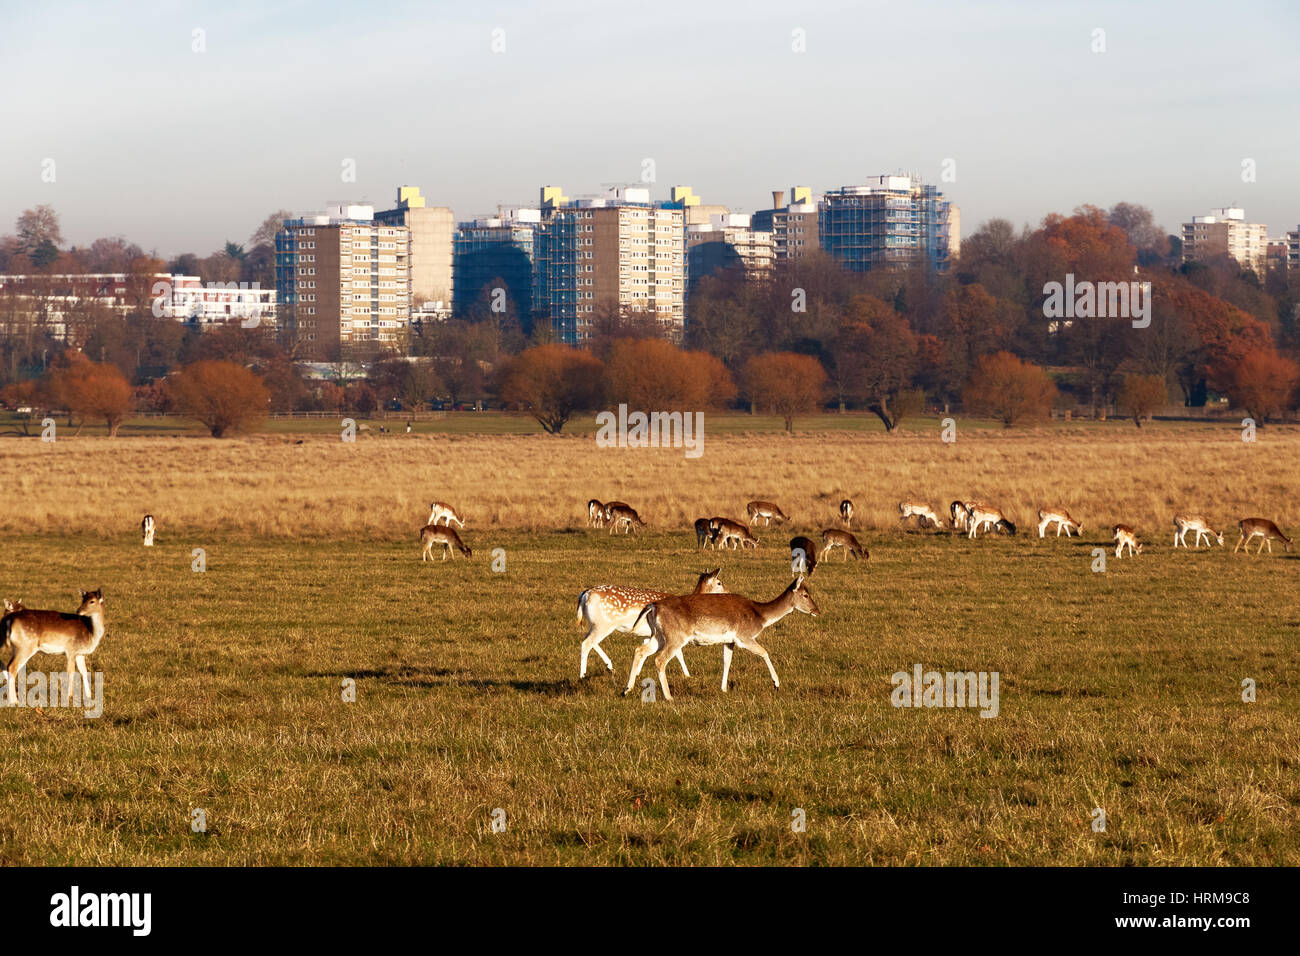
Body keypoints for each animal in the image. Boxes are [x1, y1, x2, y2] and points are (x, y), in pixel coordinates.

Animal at [577, 568, 725, 679]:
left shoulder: (648, 634)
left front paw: (636, 674)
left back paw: (610, 667)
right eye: (719, 582)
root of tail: (585, 594)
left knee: (588, 640)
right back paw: (582, 675)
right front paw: (688, 675)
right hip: (603, 624)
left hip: (595, 624)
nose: (726, 593)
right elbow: (679, 653)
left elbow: (644, 651)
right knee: (587, 643)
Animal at [622, 578, 821, 702]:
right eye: (805, 594)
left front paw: (724, 689)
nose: (817, 610)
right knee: (659, 659)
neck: (761, 616)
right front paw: (776, 684)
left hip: (658, 635)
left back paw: (626, 690)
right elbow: (764, 652)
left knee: (639, 651)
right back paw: (669, 696)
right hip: (675, 636)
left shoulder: (730, 640)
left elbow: (727, 661)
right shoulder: (744, 636)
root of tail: (653, 606)